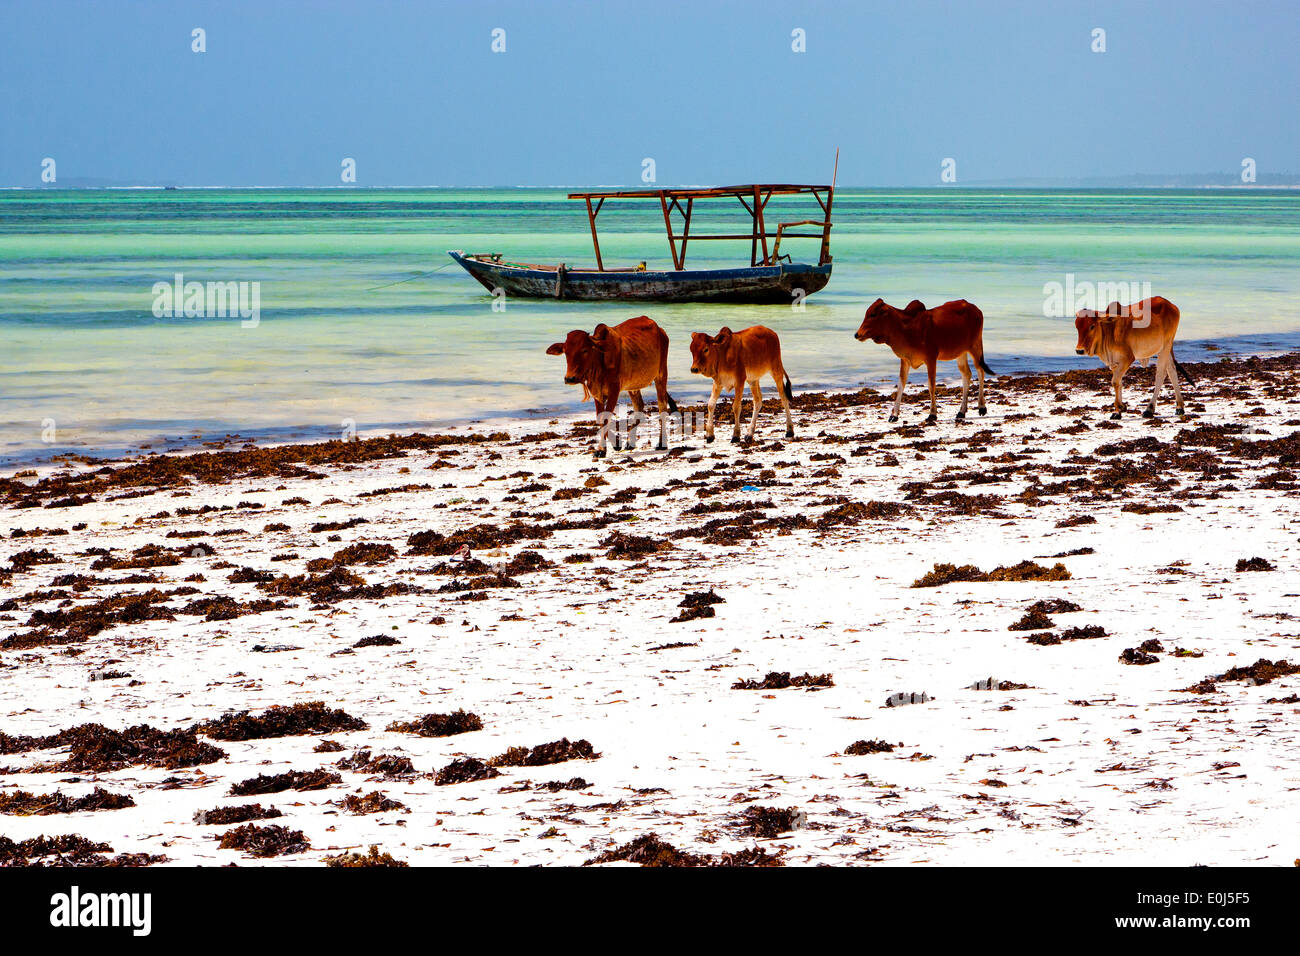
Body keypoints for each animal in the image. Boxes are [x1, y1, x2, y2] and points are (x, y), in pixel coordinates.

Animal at [546, 315, 678, 457]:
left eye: (585, 350)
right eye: (565, 352)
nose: (570, 378)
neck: (599, 362)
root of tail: (659, 329)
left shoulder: (614, 390)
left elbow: (606, 418)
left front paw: (601, 449)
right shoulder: (597, 393)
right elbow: (600, 418)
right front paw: (616, 444)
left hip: (661, 375)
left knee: (662, 408)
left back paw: (661, 443)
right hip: (633, 385)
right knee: (639, 407)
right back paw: (630, 442)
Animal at [854, 298, 994, 424]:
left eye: (873, 314)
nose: (857, 334)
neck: (906, 328)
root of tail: (975, 308)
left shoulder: (931, 359)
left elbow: (931, 385)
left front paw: (932, 414)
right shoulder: (905, 360)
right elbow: (901, 385)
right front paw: (894, 415)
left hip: (975, 347)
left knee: (980, 371)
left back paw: (982, 407)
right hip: (961, 352)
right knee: (967, 374)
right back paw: (961, 412)